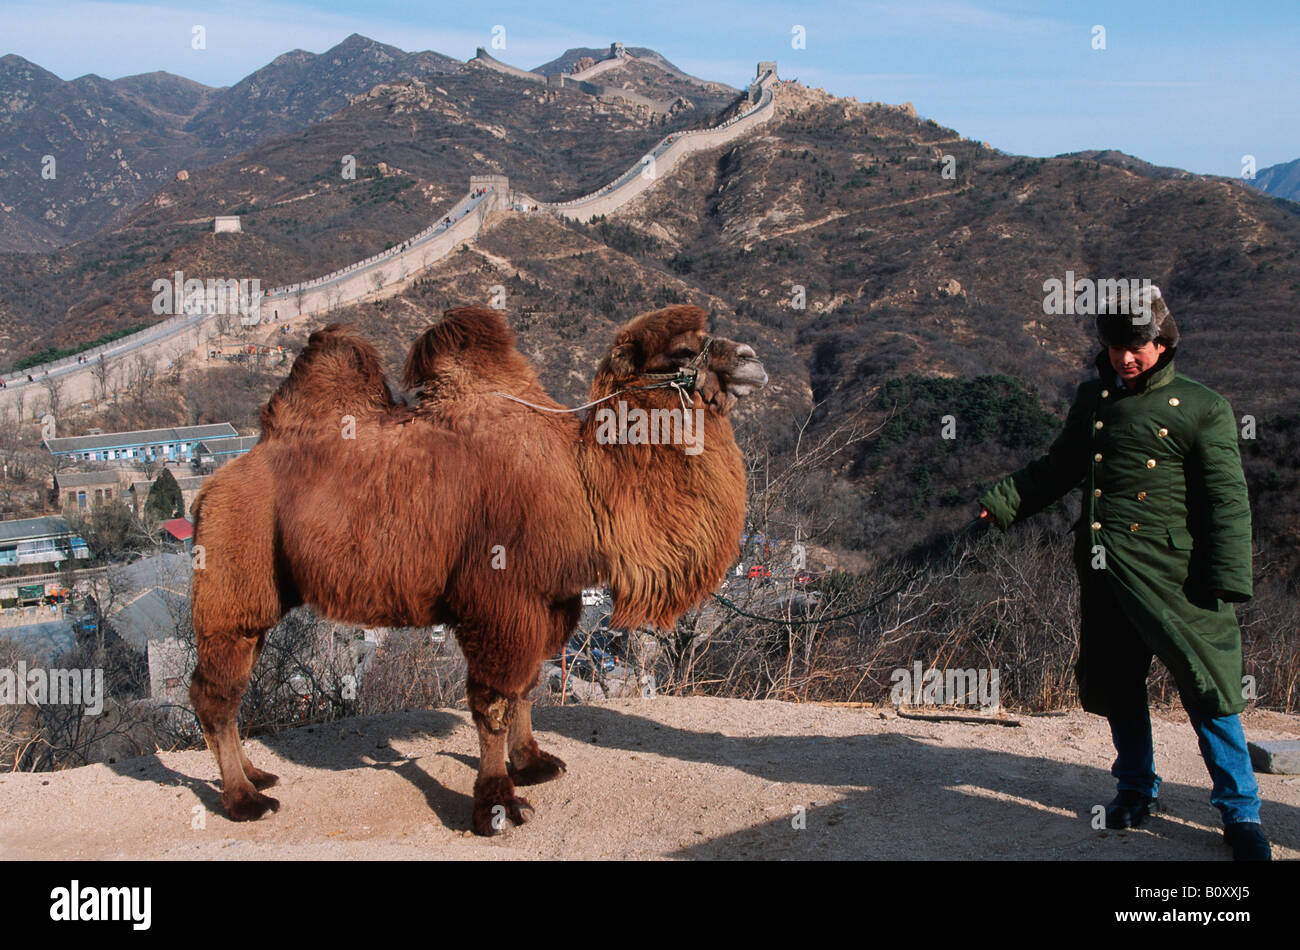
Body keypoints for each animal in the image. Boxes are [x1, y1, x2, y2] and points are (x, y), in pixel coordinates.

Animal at [188, 304, 767, 834]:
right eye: (683, 350)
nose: (752, 359)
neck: (582, 485)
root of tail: (217, 482)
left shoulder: (551, 600)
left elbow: (526, 687)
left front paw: (533, 763)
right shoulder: (498, 601)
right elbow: (493, 704)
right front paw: (496, 806)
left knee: (225, 686)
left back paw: (256, 776)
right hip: (233, 570)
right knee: (216, 693)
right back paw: (244, 800)